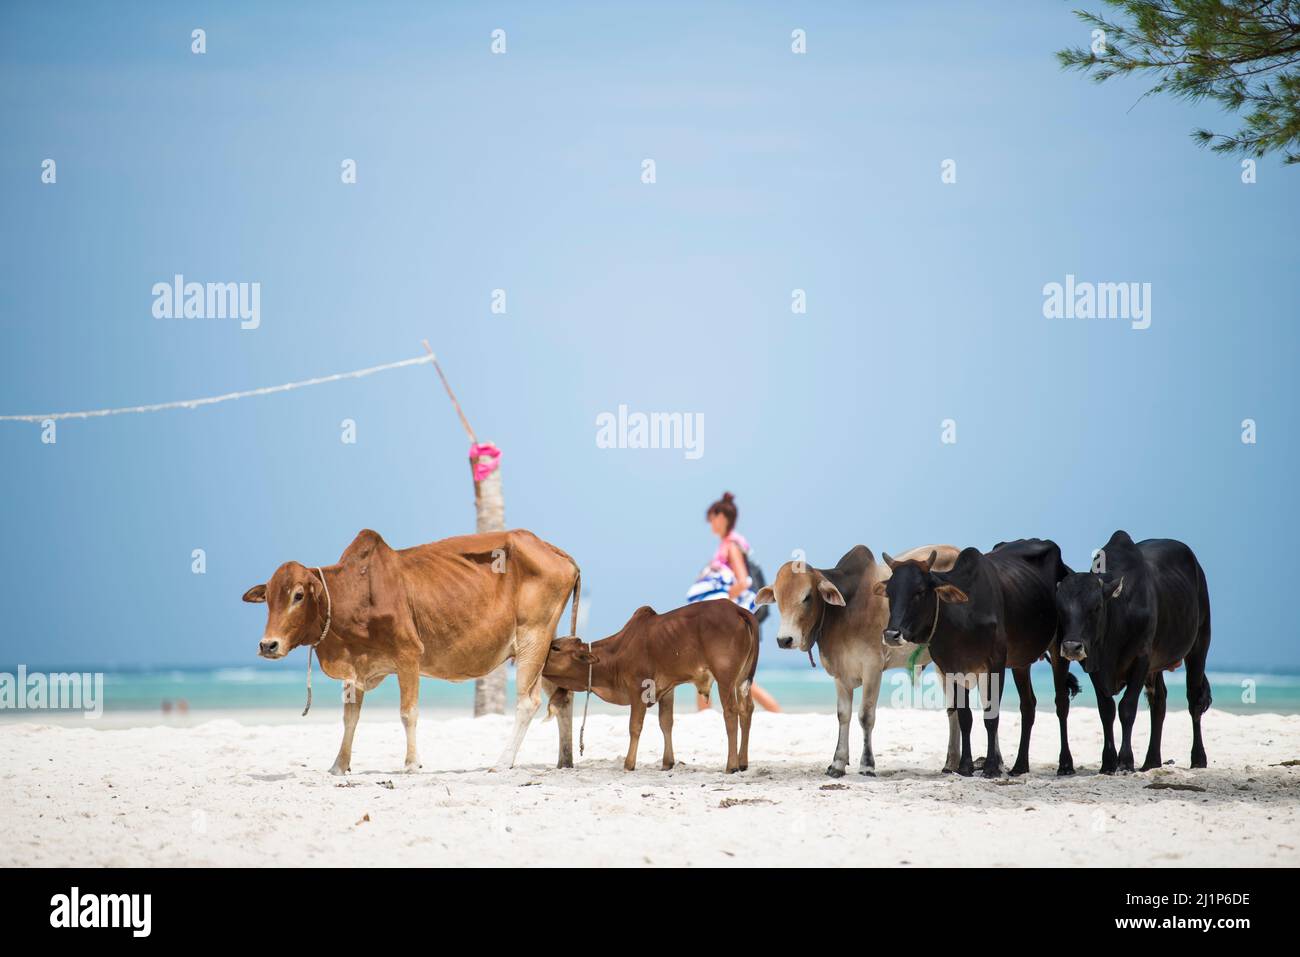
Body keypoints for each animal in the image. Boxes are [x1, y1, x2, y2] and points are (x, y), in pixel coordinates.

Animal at [242, 528, 581, 773]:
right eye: (268, 597)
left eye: (299, 595)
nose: (268, 645)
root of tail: (555, 551)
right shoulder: (356, 669)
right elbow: (350, 718)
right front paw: (339, 766)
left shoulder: (408, 656)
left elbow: (408, 713)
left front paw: (411, 764)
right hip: (546, 648)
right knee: (561, 699)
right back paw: (564, 761)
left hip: (532, 640)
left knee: (528, 702)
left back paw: (502, 762)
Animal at [543, 600, 759, 773]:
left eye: (556, 648)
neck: (617, 654)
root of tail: (738, 609)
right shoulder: (668, 689)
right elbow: (666, 722)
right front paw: (667, 762)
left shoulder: (639, 689)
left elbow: (634, 727)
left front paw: (629, 764)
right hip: (741, 680)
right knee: (746, 710)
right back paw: (743, 762)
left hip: (725, 679)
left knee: (731, 713)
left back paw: (731, 765)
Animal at [755, 544, 962, 777]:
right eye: (777, 597)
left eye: (807, 597)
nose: (785, 640)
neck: (844, 612)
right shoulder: (840, 674)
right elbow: (843, 715)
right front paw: (837, 763)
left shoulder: (872, 668)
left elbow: (865, 716)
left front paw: (867, 764)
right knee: (953, 708)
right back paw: (951, 763)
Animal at [878, 540, 1077, 778]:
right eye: (889, 592)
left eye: (919, 592)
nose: (891, 634)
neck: (961, 616)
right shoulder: (953, 668)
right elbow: (965, 718)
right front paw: (965, 766)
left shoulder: (995, 665)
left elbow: (991, 717)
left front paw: (991, 767)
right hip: (1021, 661)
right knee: (1028, 706)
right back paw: (1020, 766)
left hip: (1059, 649)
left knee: (1061, 703)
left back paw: (1065, 764)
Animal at [1055, 530, 1212, 773]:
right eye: (1060, 608)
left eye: (1096, 607)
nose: (1072, 647)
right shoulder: (1094, 666)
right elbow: (1106, 709)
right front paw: (1108, 761)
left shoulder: (1141, 659)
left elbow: (1127, 708)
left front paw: (1126, 760)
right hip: (1157, 666)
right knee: (1159, 702)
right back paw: (1151, 761)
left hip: (1199, 644)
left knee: (1194, 699)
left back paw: (1198, 758)